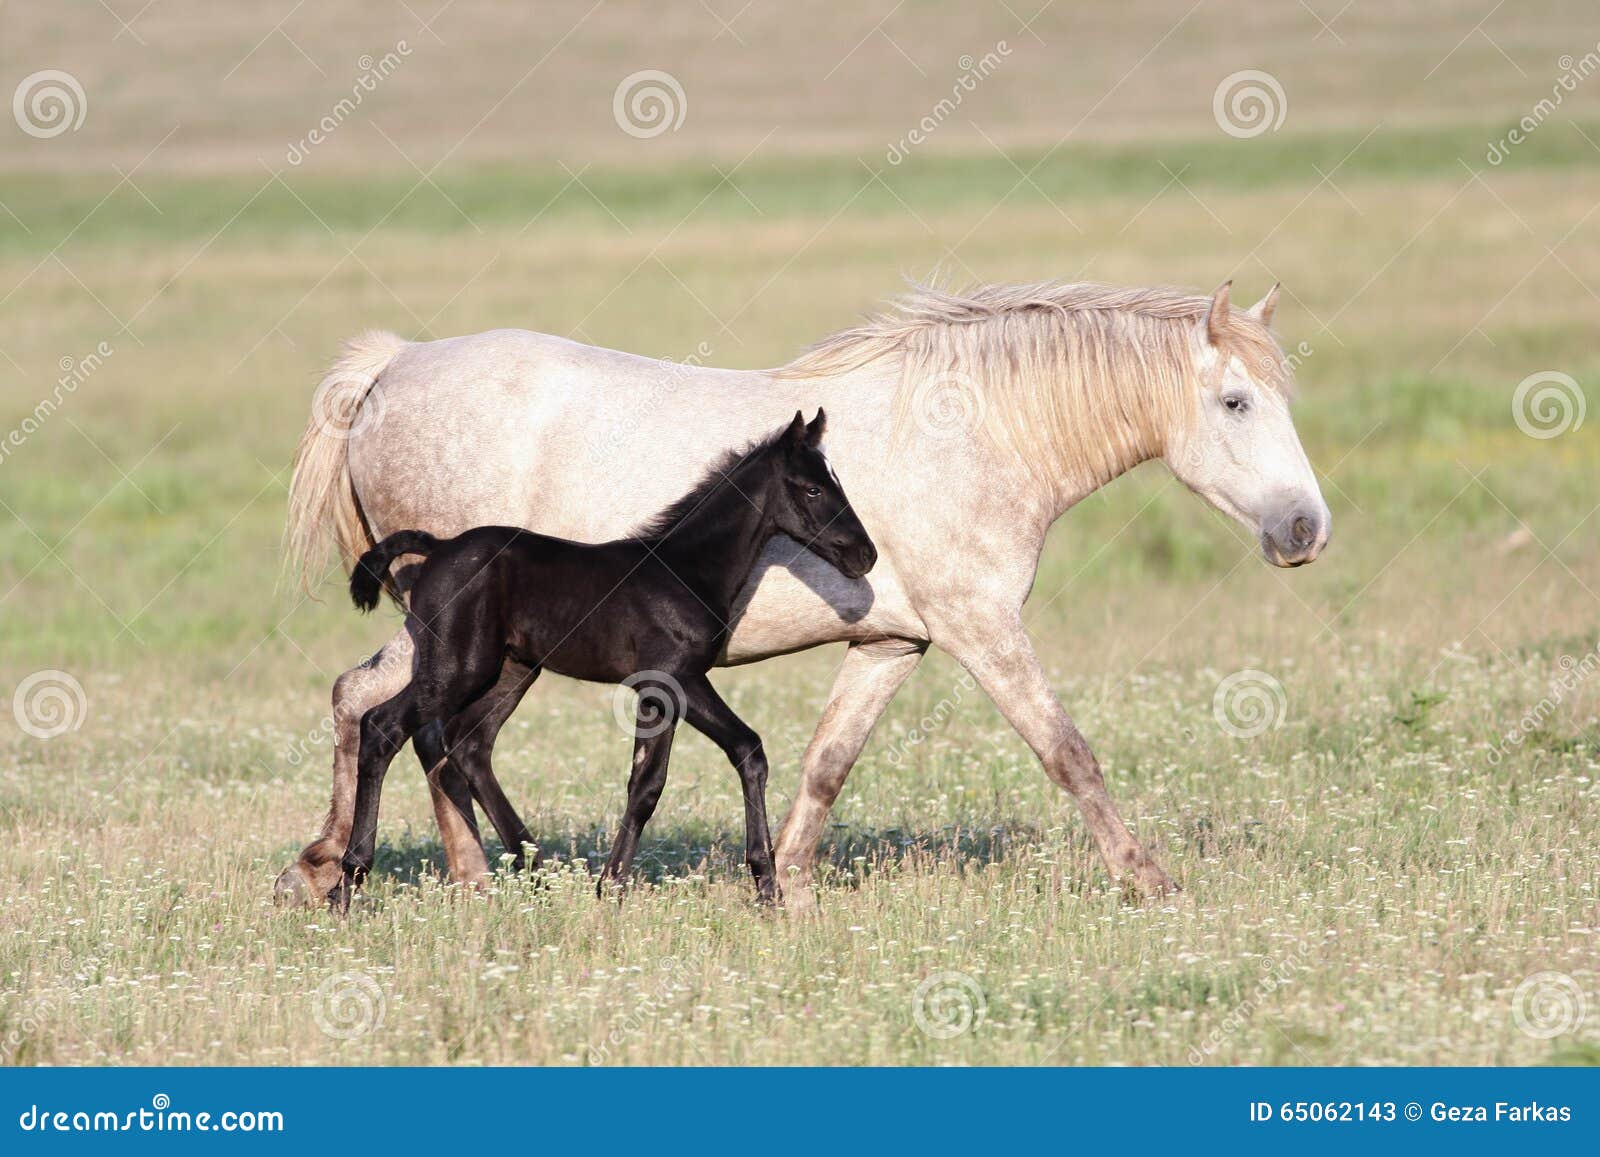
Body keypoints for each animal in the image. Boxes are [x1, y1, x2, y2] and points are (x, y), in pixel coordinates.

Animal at [330, 410, 874, 909]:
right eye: (811, 489)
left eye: (836, 481)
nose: (864, 555)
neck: (685, 570)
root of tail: (439, 548)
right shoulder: (678, 678)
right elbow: (745, 750)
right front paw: (766, 885)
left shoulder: (659, 693)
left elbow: (646, 784)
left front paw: (609, 886)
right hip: (457, 668)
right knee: (383, 726)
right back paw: (348, 882)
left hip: (511, 671)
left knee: (468, 745)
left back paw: (537, 872)